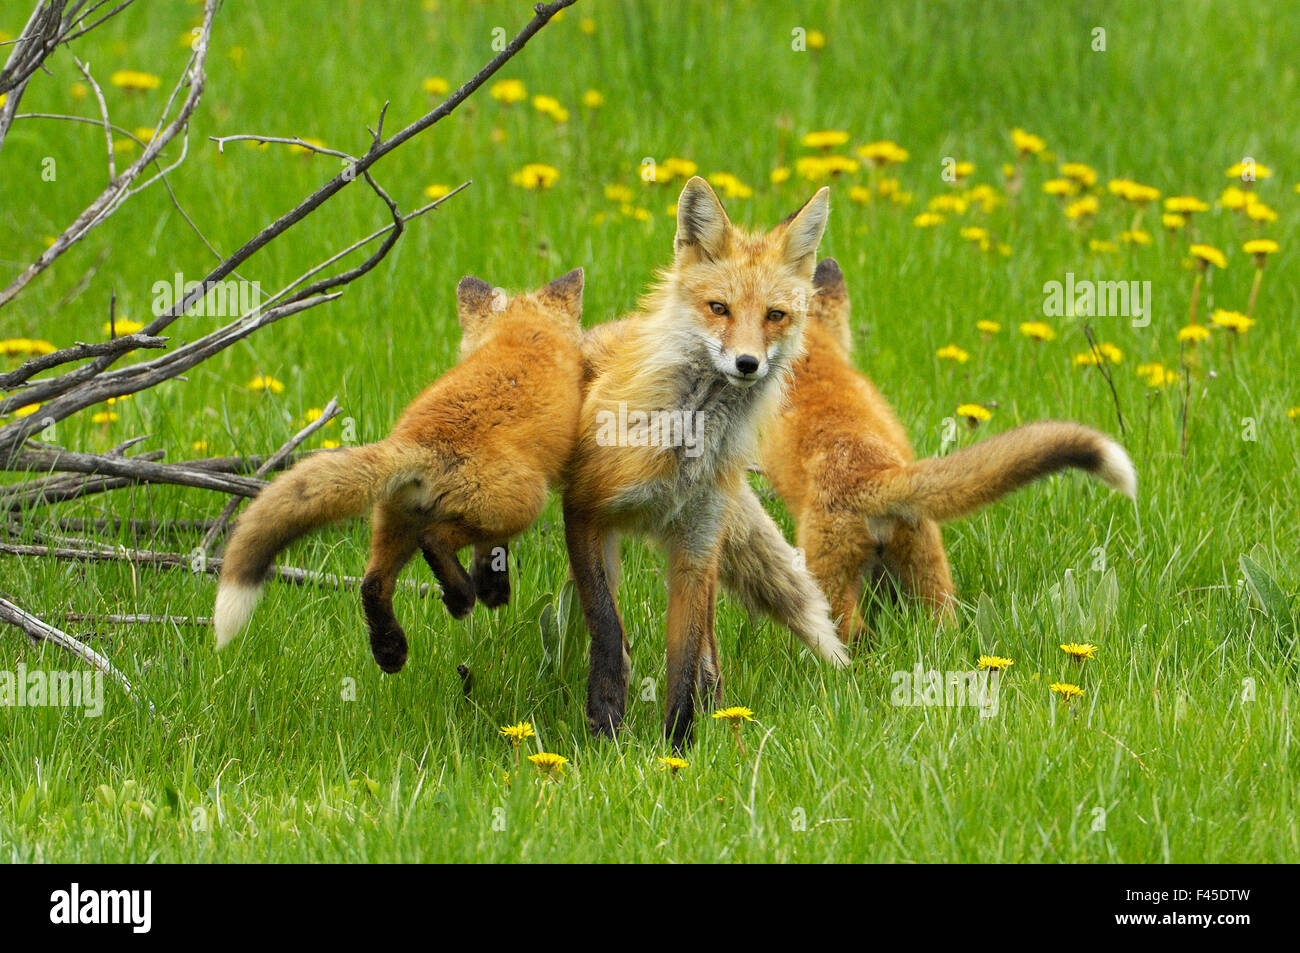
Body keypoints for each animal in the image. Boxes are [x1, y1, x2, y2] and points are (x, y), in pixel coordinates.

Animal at [212, 269, 586, 670]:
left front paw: (493, 589)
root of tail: (417, 440)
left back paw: (391, 649)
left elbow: (489, 555)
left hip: (395, 522)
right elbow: (489, 550)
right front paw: (490, 589)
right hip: (514, 507)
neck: (522, 335)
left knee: (373, 583)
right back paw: (460, 598)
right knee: (434, 541)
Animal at [564, 177, 850, 752]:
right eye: (720, 308)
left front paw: (677, 751)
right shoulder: (582, 510)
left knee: (709, 651)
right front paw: (606, 722)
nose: (747, 363)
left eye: (775, 315)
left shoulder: (696, 547)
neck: (683, 451)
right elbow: (606, 627)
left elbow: (684, 663)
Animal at [759, 257, 1137, 643]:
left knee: (852, 635)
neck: (815, 365)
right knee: (941, 627)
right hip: (926, 567)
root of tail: (874, 472)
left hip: (833, 578)